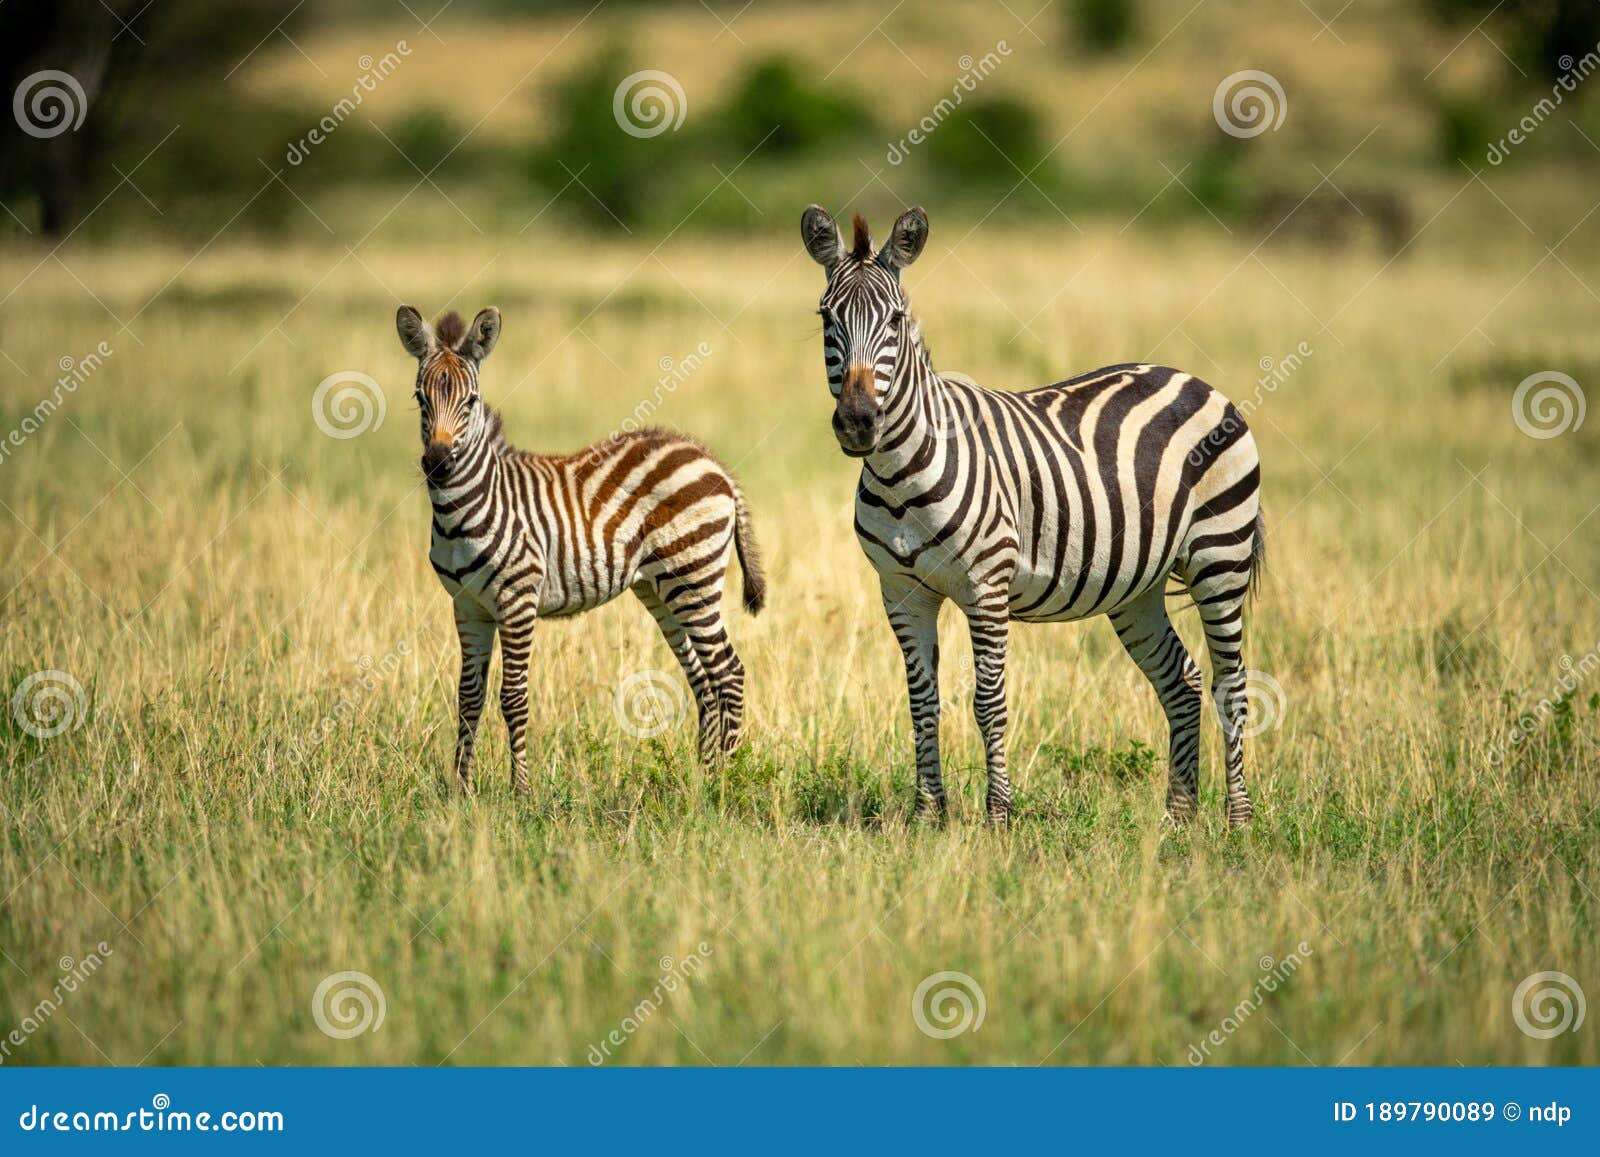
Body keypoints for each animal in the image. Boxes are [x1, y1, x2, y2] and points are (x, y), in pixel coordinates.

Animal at [395, 305, 766, 794]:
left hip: (695, 579)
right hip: (662, 590)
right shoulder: (468, 606)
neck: (464, 507)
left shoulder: (517, 599)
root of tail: (709, 458)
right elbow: (468, 697)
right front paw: (460, 790)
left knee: (729, 673)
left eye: (470, 402)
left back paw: (728, 779)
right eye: (420, 398)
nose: (437, 465)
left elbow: (513, 697)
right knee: (703, 680)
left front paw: (520, 791)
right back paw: (702, 778)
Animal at [800, 206, 1266, 828]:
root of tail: (1193, 379)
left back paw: (1238, 821)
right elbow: (922, 702)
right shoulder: (901, 591)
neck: (900, 473)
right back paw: (1178, 817)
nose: (857, 423)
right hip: (1137, 589)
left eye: (895, 320)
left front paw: (998, 815)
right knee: (1183, 683)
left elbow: (988, 701)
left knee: (1231, 686)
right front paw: (927, 814)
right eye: (827, 318)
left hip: (1222, 557)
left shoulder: (986, 585)